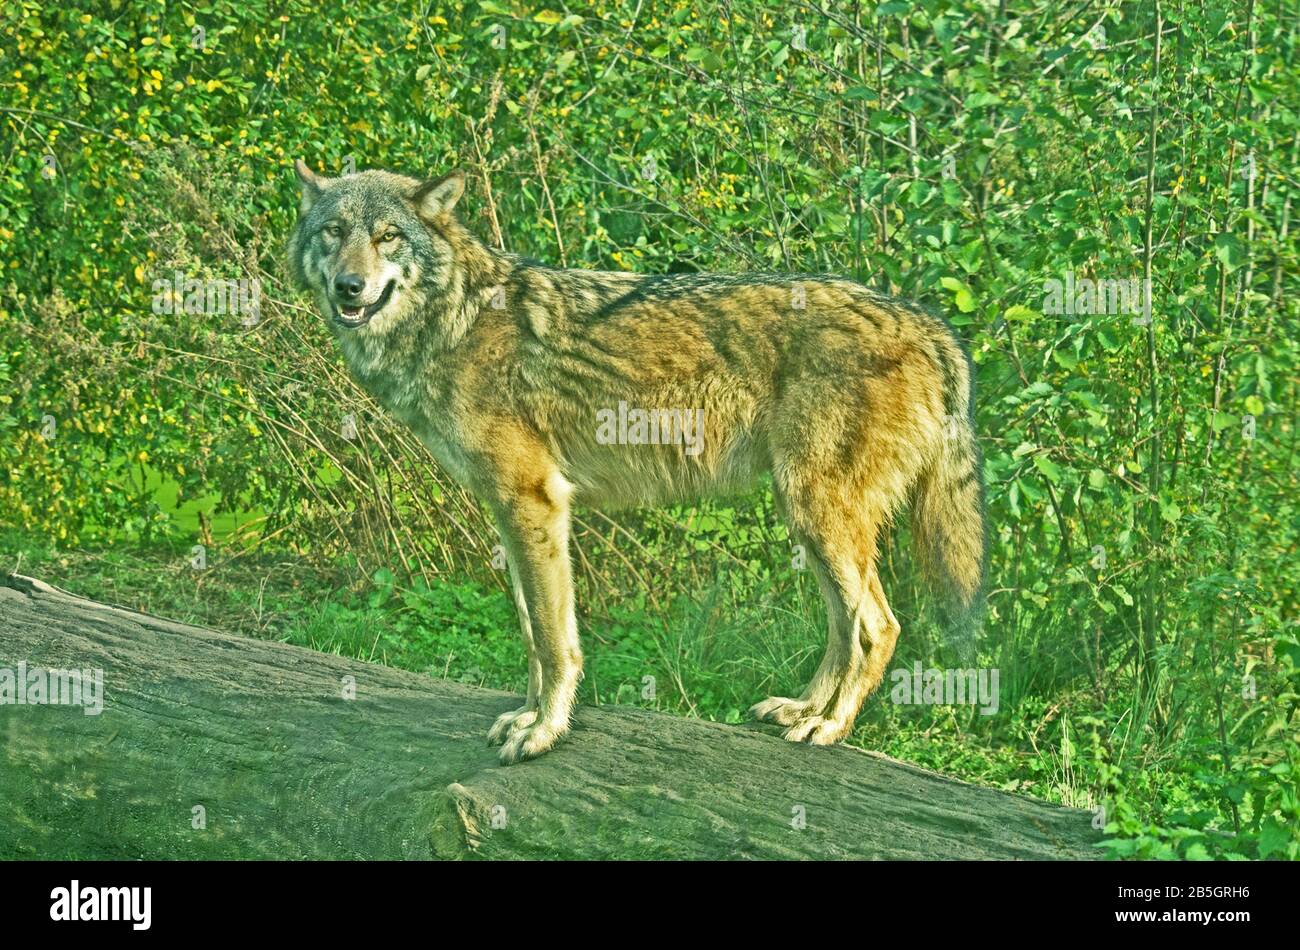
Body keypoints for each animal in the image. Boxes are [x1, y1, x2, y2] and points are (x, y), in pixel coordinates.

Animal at [289, 161, 986, 764]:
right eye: (334, 232)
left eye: (387, 236)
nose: (350, 287)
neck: (454, 321)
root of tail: (928, 322)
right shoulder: (511, 513)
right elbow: (532, 634)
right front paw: (527, 716)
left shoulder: (536, 500)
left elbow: (554, 640)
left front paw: (544, 733)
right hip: (810, 524)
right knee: (846, 627)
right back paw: (801, 709)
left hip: (818, 516)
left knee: (878, 627)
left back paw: (829, 726)